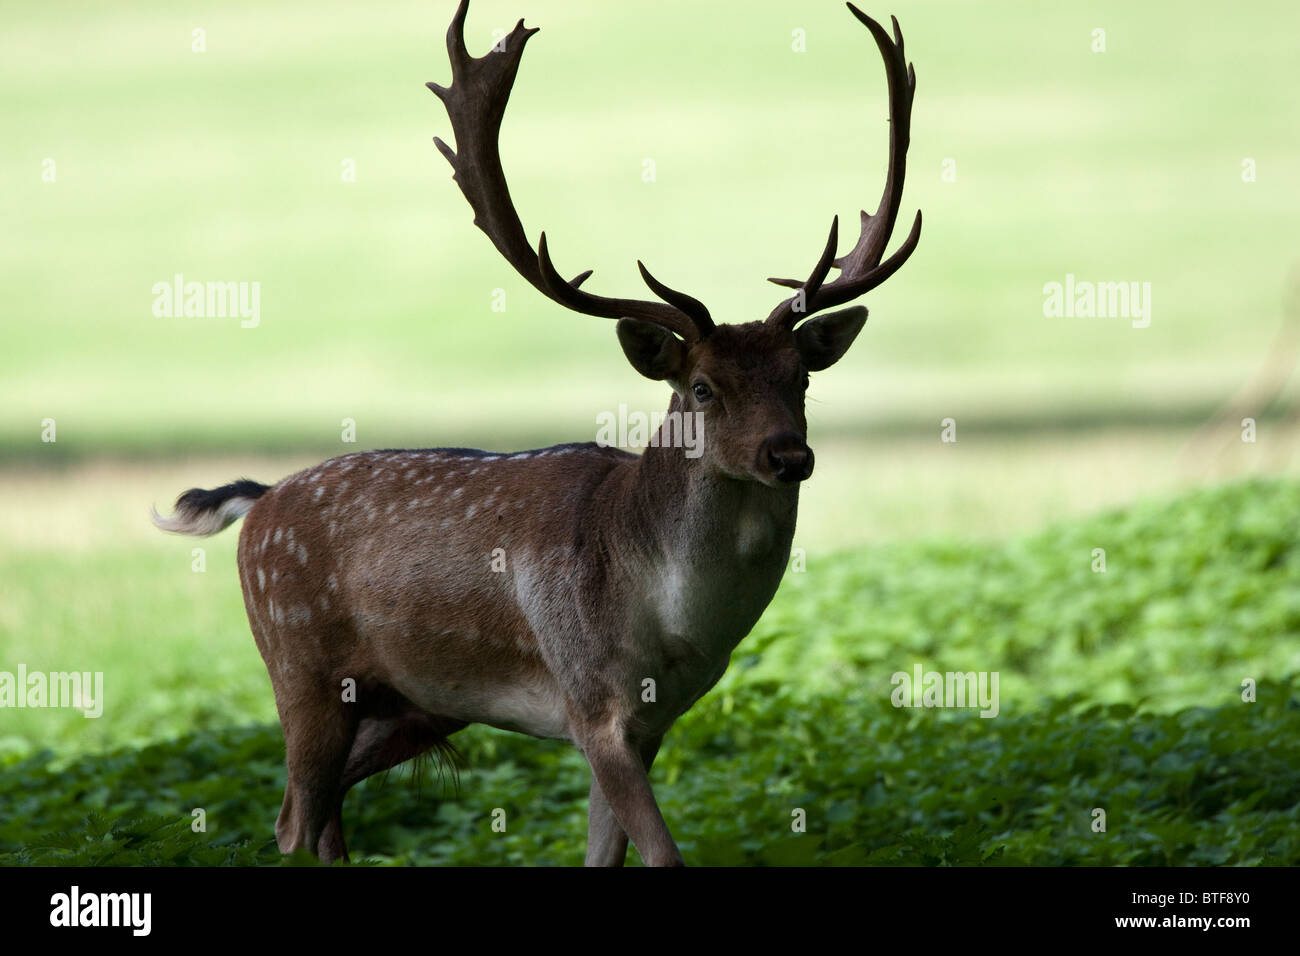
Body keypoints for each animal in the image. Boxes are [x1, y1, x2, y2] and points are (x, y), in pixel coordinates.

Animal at [152, 0, 921, 866]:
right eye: (701, 387)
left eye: (801, 377)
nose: (788, 454)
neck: (669, 625)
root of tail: (257, 501)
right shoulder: (590, 702)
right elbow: (663, 853)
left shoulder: (650, 724)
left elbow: (606, 853)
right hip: (298, 663)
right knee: (292, 818)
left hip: (410, 703)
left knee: (321, 817)